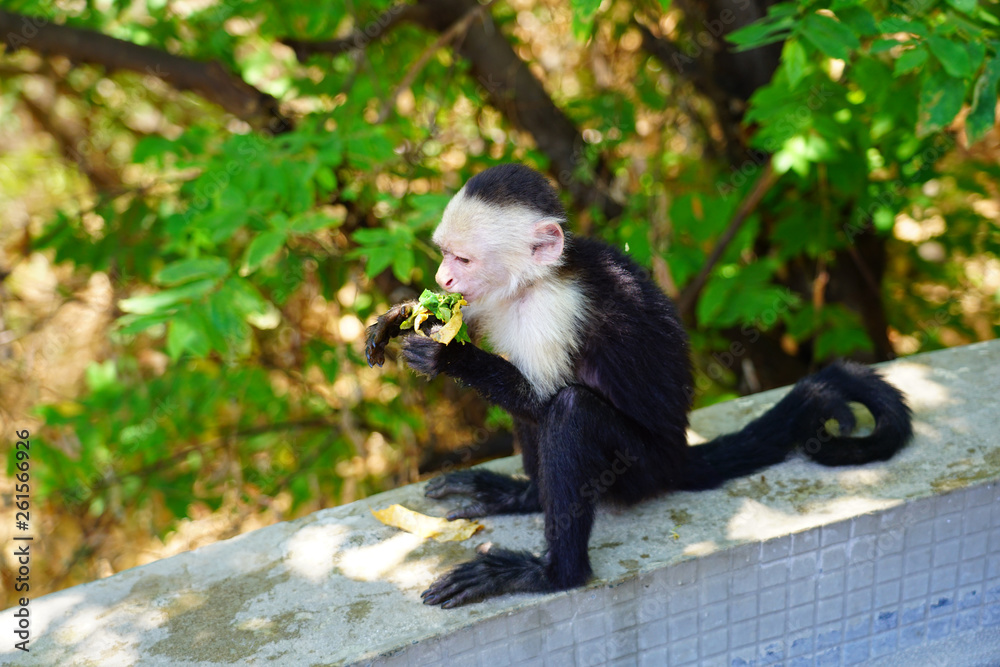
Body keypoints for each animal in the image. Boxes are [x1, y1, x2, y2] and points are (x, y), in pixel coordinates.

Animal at [365, 163, 913, 608]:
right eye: (443, 256)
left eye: (463, 259)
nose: (443, 278)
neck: (535, 281)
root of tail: (677, 454)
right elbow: (504, 373)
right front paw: (401, 315)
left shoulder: (556, 310)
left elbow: (539, 399)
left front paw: (448, 355)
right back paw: (524, 499)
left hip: (641, 469)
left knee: (569, 411)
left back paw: (554, 573)